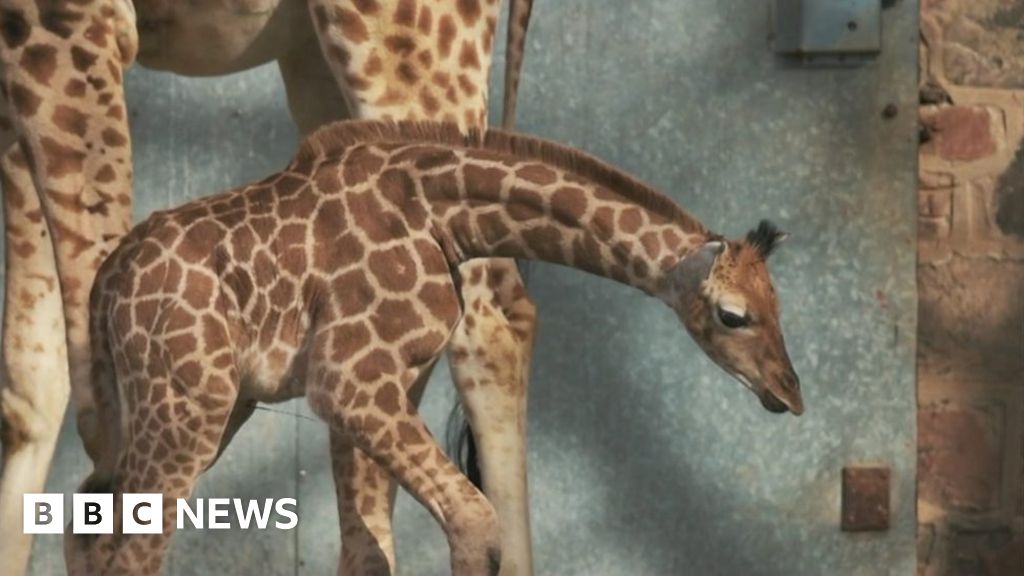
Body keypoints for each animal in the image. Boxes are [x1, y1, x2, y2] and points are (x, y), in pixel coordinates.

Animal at [0, 1, 536, 574]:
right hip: (314, 67)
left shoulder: (64, 25)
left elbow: (94, 416)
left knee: (487, 322)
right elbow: (32, 378)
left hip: (408, 37)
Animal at [67, 119, 804, 576]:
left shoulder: (387, 382)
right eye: (733, 315)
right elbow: (474, 520)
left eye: (780, 304)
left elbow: (372, 549)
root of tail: (106, 283)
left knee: (91, 518)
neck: (444, 214)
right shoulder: (347, 379)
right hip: (190, 403)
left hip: (201, 407)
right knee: (133, 545)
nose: (789, 394)